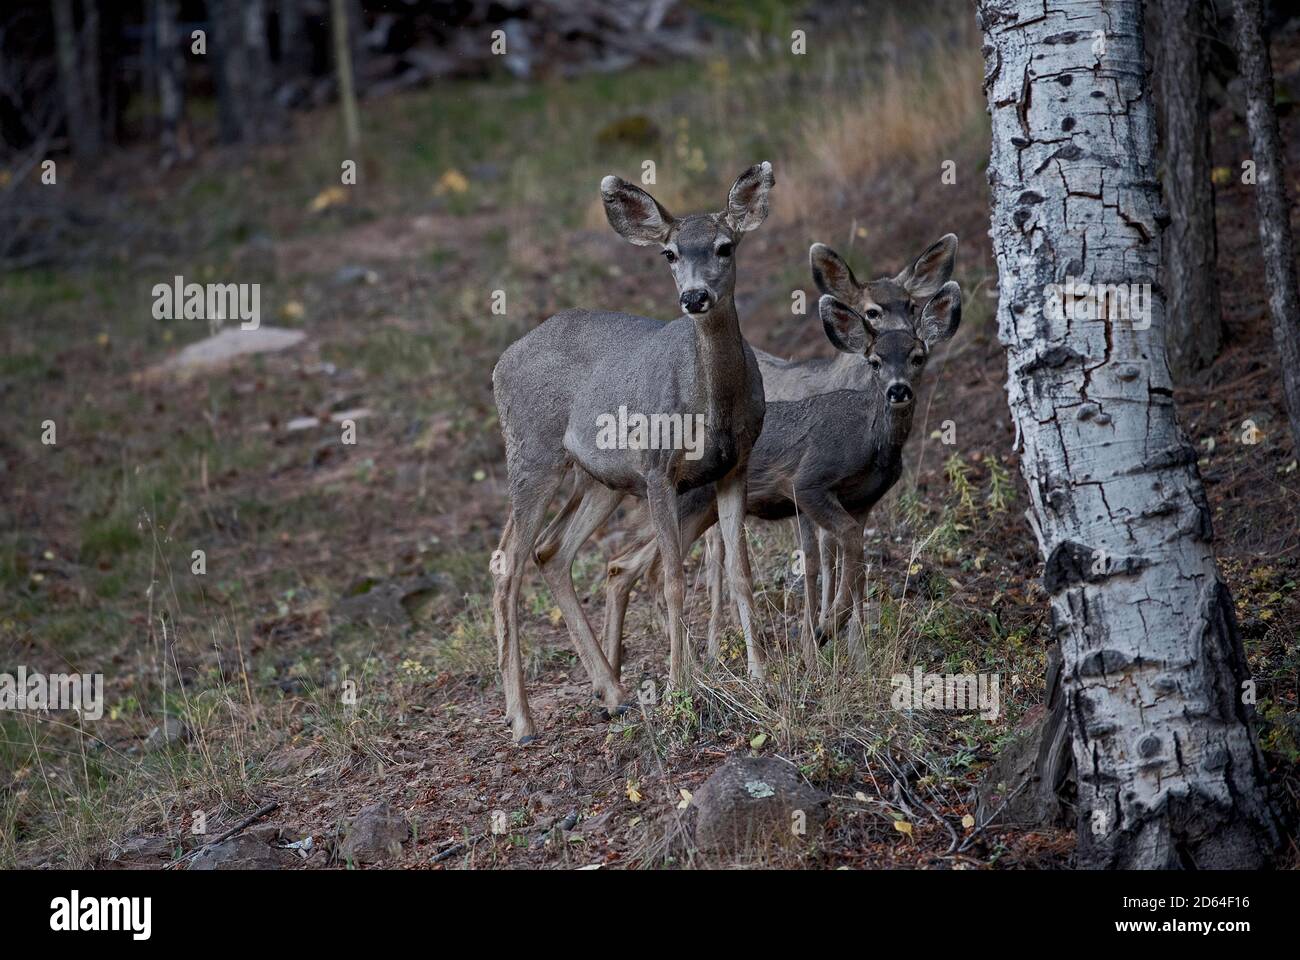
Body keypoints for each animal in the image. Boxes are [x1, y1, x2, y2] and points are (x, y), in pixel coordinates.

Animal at [491, 163, 775, 742]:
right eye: (668, 253)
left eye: (725, 246)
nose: (694, 298)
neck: (710, 406)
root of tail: (498, 365)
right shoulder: (658, 469)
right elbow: (670, 581)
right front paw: (680, 690)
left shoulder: (735, 466)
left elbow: (740, 573)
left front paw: (762, 680)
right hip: (533, 454)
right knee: (507, 561)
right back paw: (523, 720)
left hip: (600, 479)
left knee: (551, 551)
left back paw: (614, 694)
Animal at [593, 237, 961, 672]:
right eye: (871, 311)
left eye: (911, 306)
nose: (899, 387)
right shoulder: (805, 487)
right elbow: (819, 561)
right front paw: (816, 645)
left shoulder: (857, 500)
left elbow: (844, 563)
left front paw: (852, 654)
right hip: (686, 499)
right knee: (649, 564)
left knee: (637, 566)